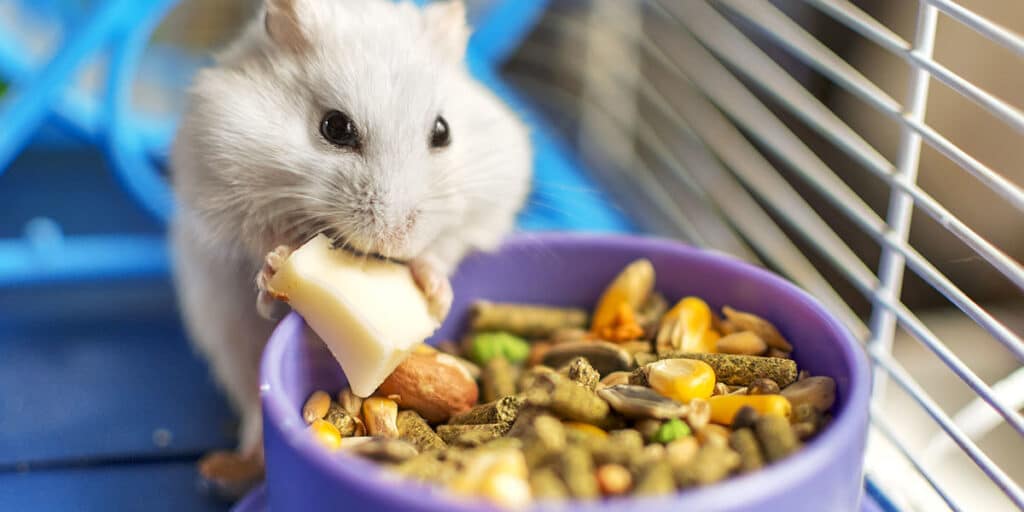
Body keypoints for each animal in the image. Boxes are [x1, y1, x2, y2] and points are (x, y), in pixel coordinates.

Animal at [169, 0, 531, 485]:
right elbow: (260, 242)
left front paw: (436, 295)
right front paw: (276, 266)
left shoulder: (485, 205)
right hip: (227, 334)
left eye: (443, 131)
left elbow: (441, 250)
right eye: (335, 127)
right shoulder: (221, 185)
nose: (394, 240)